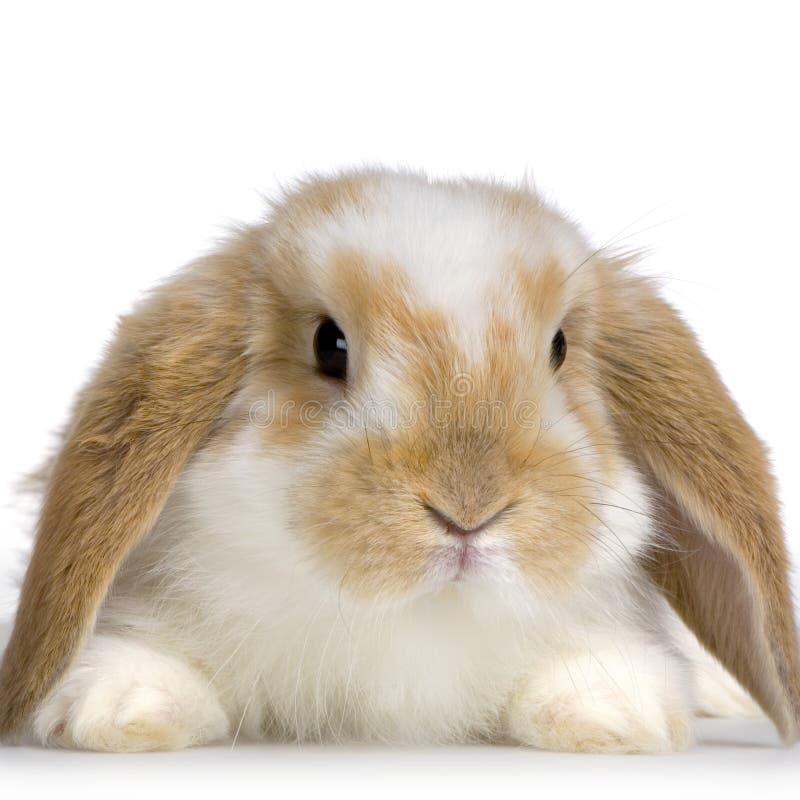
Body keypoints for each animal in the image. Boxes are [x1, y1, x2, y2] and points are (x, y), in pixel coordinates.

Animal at [0, 168, 796, 753]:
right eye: (329, 344)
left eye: (561, 348)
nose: (468, 509)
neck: (415, 618)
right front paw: (124, 708)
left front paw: (610, 712)